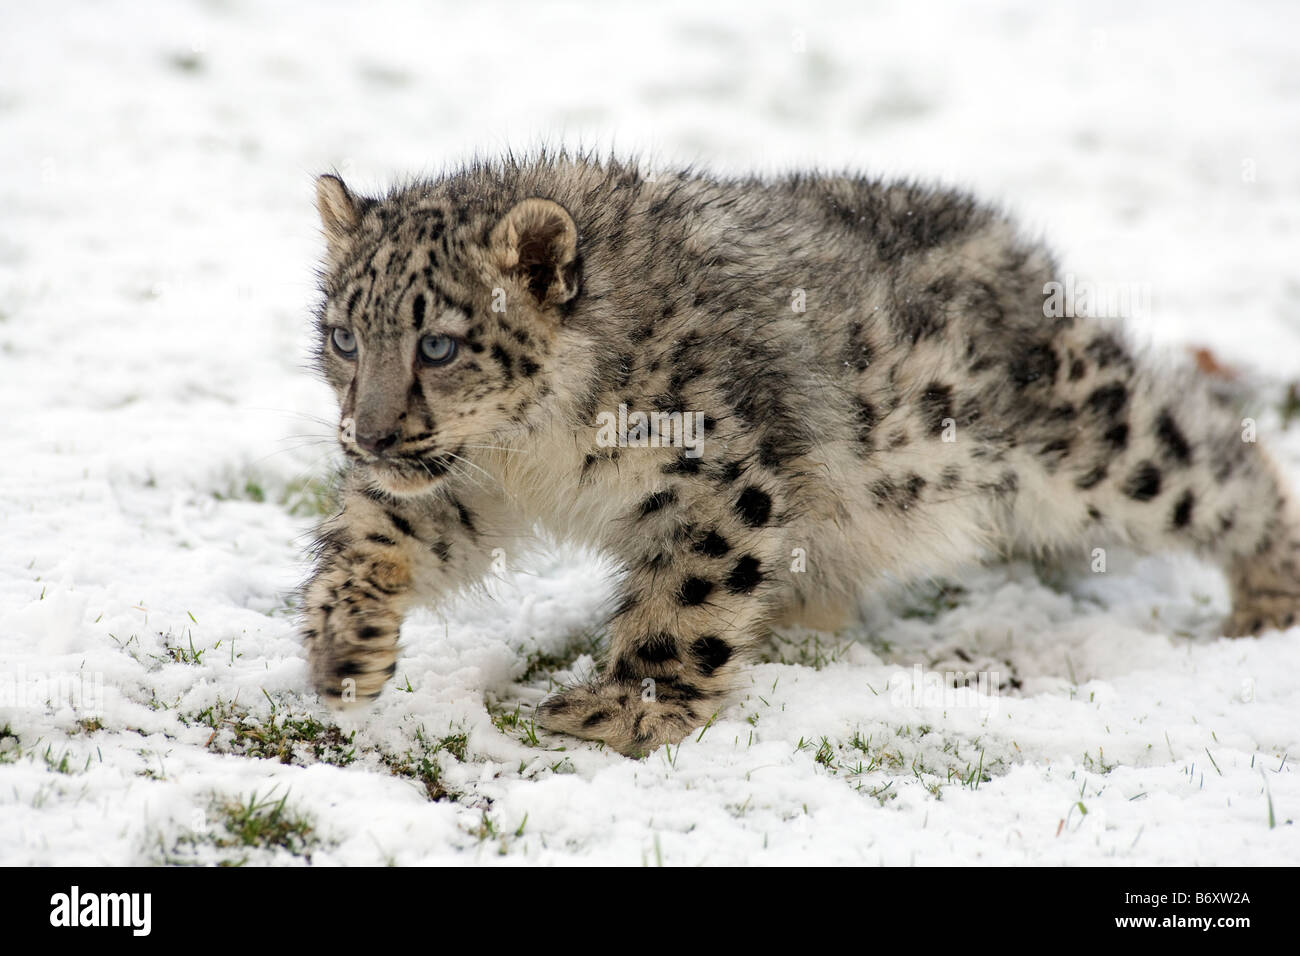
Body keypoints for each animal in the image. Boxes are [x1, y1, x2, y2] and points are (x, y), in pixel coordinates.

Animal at [300, 152, 1300, 756]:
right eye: (345, 335)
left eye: (439, 345)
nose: (370, 434)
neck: (528, 452)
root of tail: (1019, 248)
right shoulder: (459, 483)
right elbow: (375, 534)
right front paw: (345, 647)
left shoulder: (714, 475)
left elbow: (684, 598)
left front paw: (622, 708)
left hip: (1093, 444)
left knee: (1217, 459)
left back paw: (1268, 601)